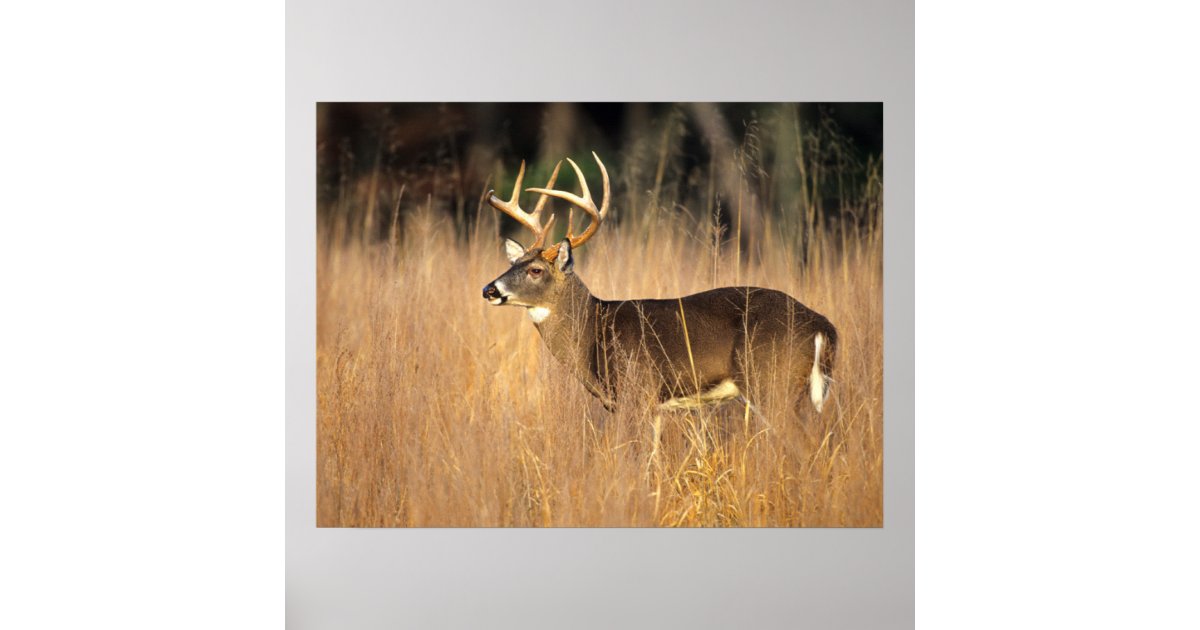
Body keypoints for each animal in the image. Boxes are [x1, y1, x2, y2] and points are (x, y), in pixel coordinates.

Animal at [481, 153, 838, 417]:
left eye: (536, 270)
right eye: (512, 264)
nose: (490, 289)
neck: (594, 331)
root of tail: (822, 325)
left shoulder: (637, 390)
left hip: (771, 382)